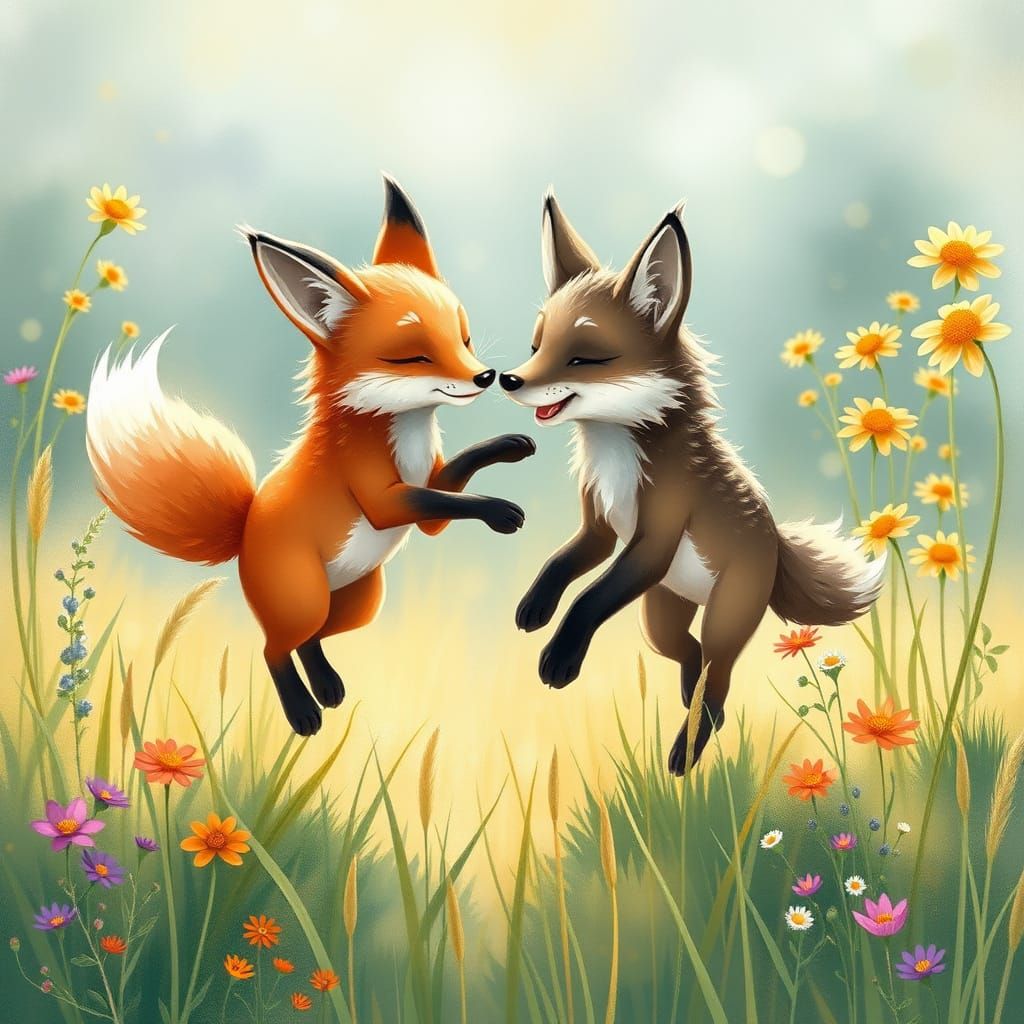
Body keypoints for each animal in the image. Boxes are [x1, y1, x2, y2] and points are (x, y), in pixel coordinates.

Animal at [87, 176, 534, 737]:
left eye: (464, 337)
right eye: (413, 356)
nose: (485, 376)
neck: (402, 433)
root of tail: (242, 529)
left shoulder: (428, 491)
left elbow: (456, 477)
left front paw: (512, 446)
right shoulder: (381, 495)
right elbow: (443, 499)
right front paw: (499, 511)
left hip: (361, 602)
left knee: (310, 639)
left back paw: (326, 685)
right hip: (306, 599)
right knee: (273, 648)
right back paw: (303, 710)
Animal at [499, 190, 885, 774]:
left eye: (583, 357)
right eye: (536, 344)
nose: (508, 379)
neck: (617, 456)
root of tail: (776, 544)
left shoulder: (654, 538)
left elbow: (588, 597)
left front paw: (561, 657)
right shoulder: (602, 530)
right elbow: (562, 564)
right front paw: (535, 608)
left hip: (720, 617)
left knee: (718, 682)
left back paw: (684, 752)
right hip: (655, 617)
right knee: (691, 658)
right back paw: (689, 692)